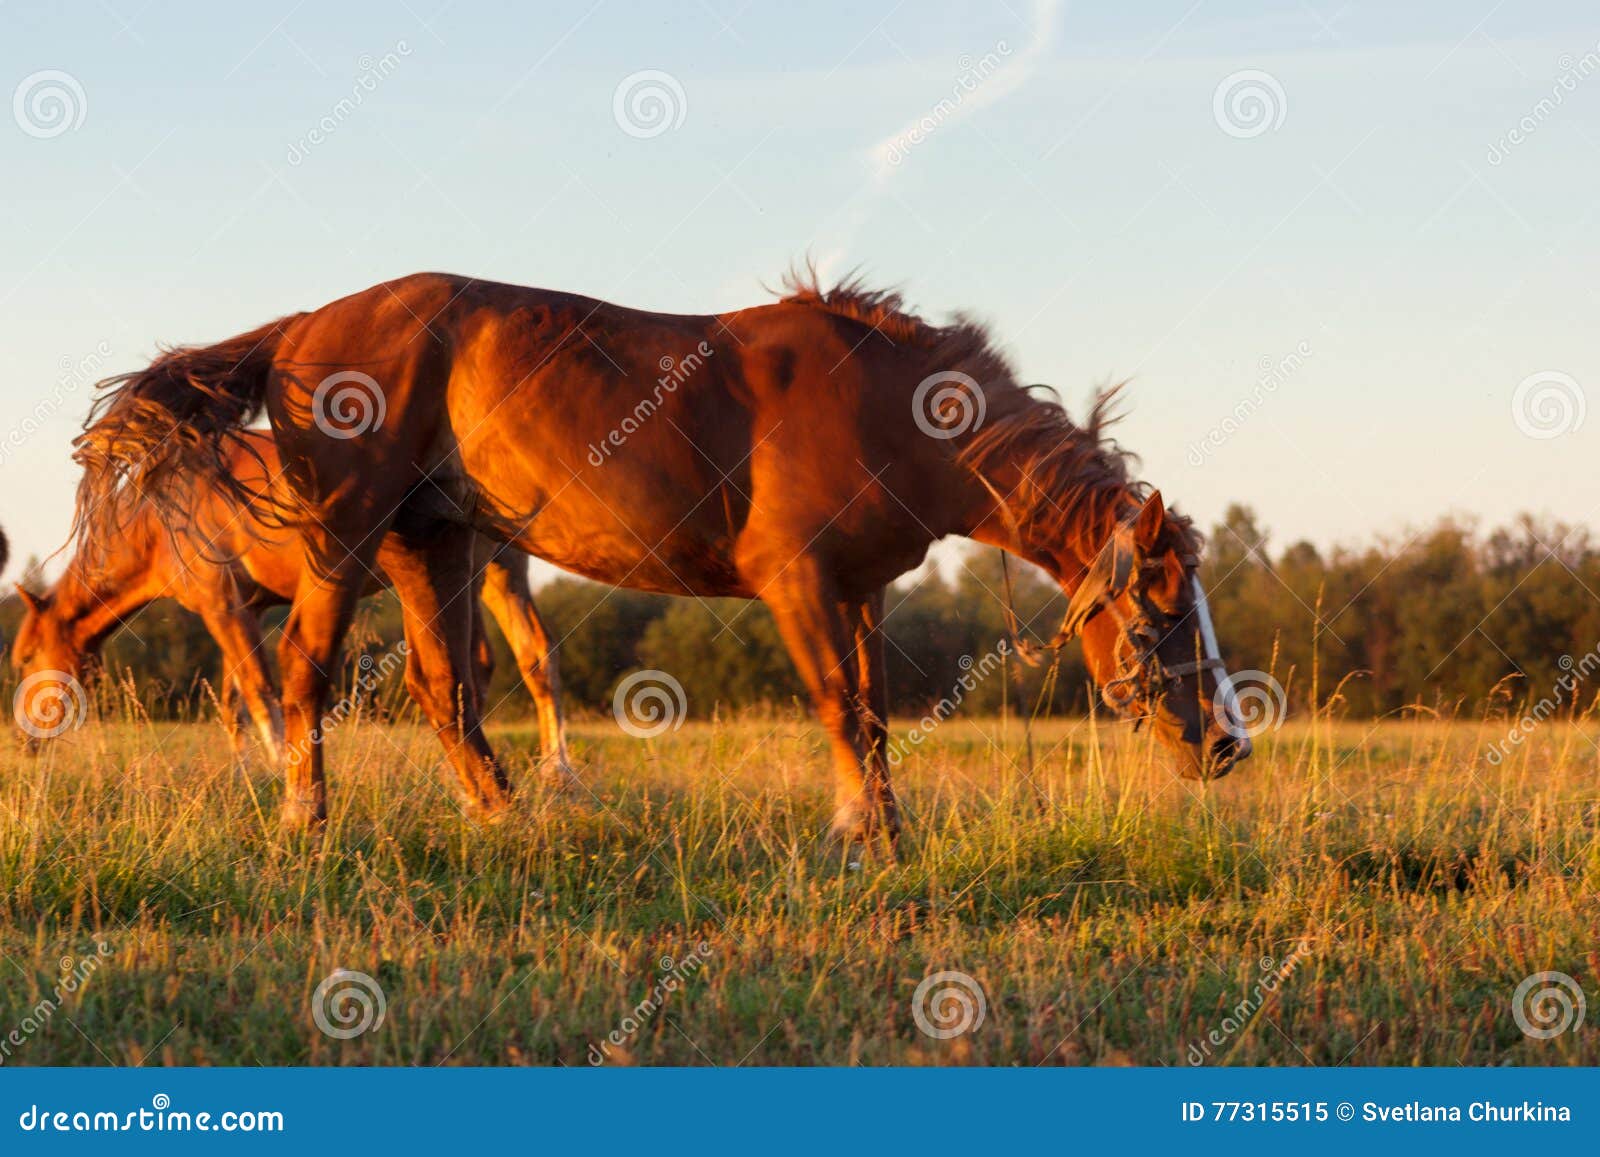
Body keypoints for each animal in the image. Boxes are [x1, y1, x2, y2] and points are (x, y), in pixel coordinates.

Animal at [21, 430, 573, 779]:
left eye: (25, 658)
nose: (25, 743)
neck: (160, 517)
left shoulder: (220, 603)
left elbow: (259, 690)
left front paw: (274, 769)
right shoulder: (248, 607)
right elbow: (233, 702)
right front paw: (245, 771)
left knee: (475, 665)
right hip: (505, 569)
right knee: (535, 656)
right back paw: (557, 774)